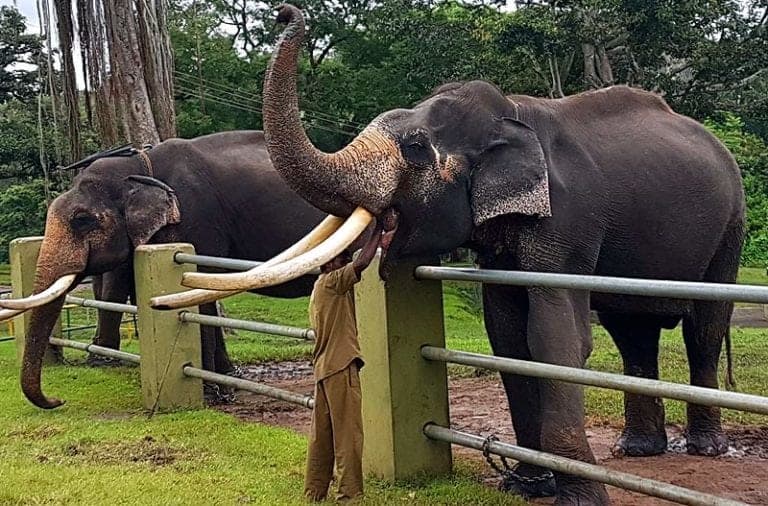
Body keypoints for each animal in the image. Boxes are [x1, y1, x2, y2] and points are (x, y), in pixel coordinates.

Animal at [9, 130, 329, 410]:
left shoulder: (196, 216)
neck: (140, 164)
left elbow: (199, 285)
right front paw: (226, 385)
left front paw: (212, 393)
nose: (58, 400)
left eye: (82, 220)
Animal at [249, 6, 746, 505]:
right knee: (632, 331)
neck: (510, 114)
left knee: (703, 328)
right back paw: (639, 449)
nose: (284, 13)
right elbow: (508, 336)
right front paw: (526, 485)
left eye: (415, 148)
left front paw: (580, 496)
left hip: (731, 228)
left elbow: (554, 337)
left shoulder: (568, 219)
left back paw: (705, 447)